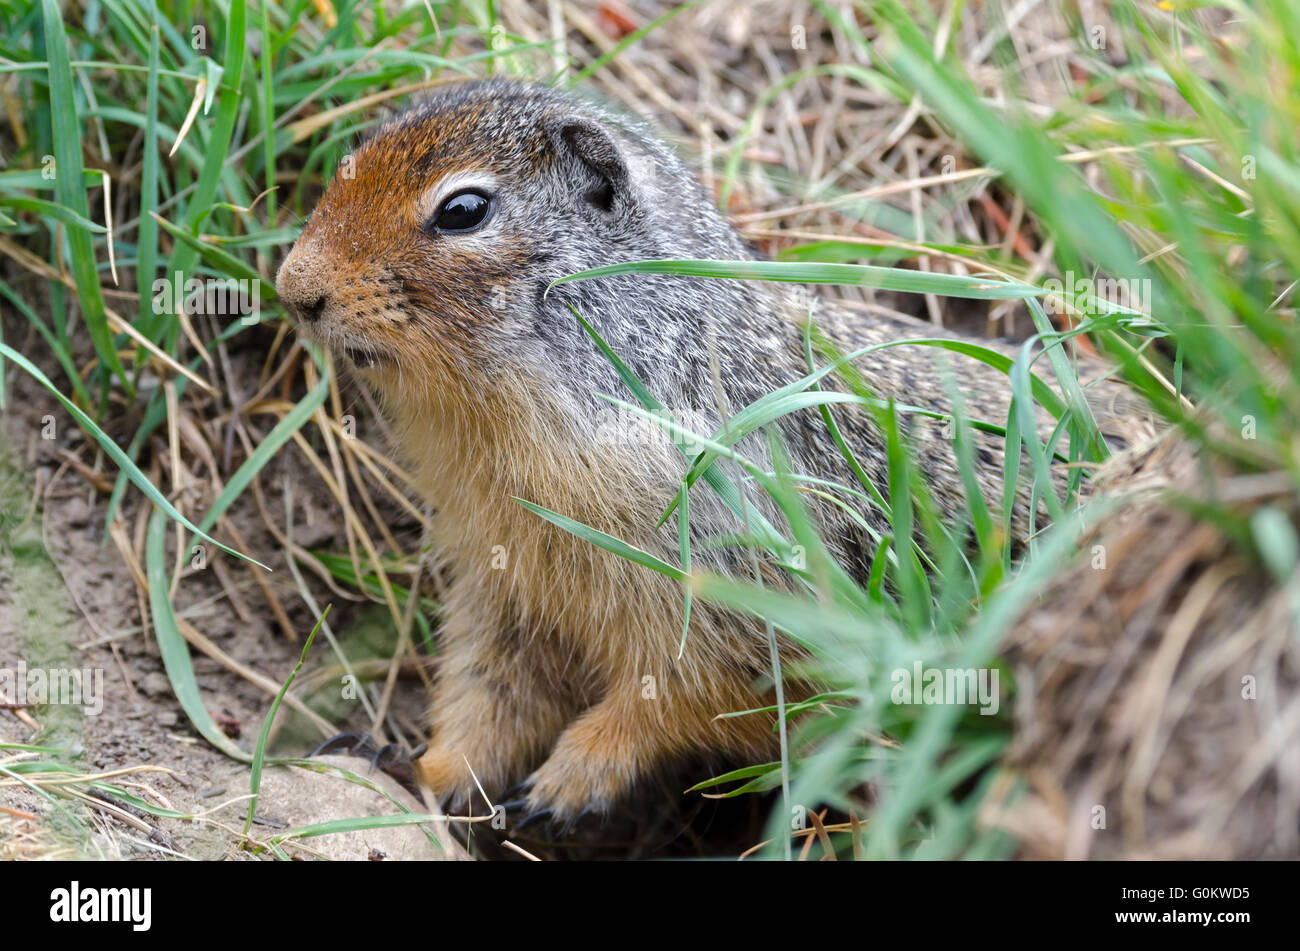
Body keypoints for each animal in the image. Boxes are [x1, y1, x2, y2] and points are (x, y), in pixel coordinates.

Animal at [276, 79, 1147, 823]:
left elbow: (678, 693)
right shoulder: (501, 588)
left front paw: (566, 781)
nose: (292, 289)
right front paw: (416, 766)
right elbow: (486, 694)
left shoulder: (735, 589)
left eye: (463, 209)